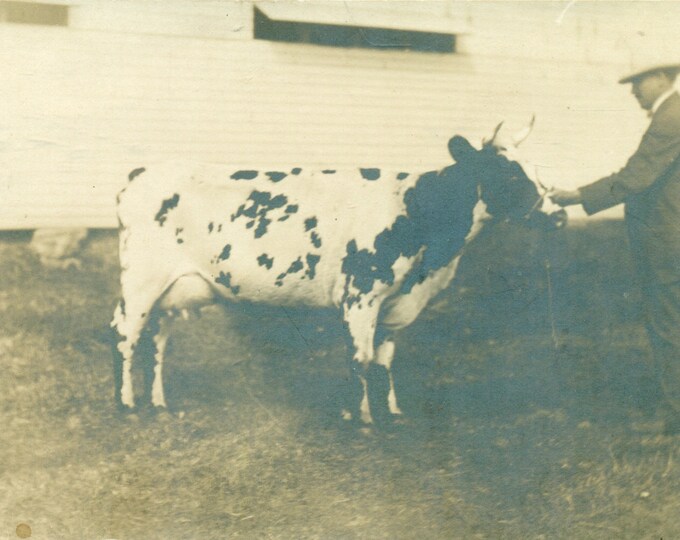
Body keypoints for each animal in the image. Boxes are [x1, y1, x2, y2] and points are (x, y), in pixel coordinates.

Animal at [110, 121, 566, 426]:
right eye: (508, 172)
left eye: (535, 170)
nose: (559, 215)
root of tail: (140, 173)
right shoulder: (360, 294)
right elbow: (360, 359)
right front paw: (361, 419)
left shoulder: (393, 303)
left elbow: (383, 360)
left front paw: (391, 412)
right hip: (140, 282)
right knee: (124, 335)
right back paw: (126, 405)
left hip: (173, 291)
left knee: (157, 341)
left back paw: (158, 403)